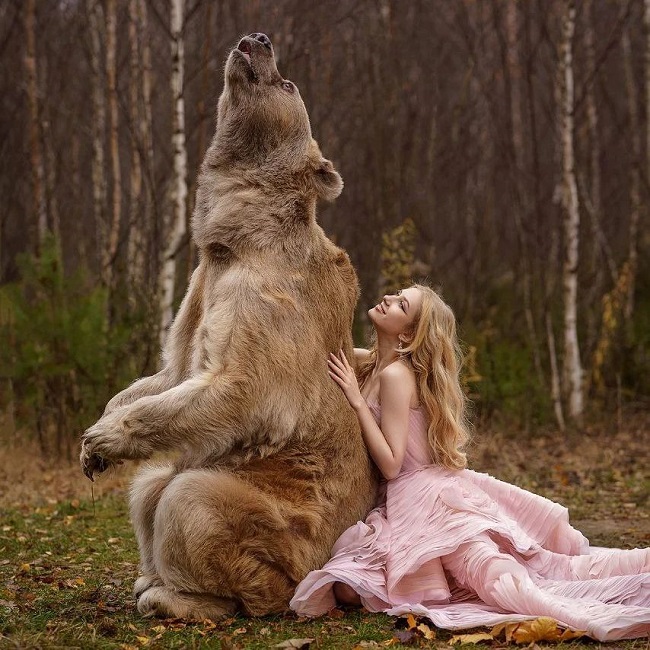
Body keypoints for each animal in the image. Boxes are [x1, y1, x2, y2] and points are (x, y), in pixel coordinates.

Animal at [79, 32, 377, 619]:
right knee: (150, 486)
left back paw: (174, 596)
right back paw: (148, 576)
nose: (258, 40)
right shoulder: (201, 282)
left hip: (283, 524)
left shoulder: (267, 296)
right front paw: (94, 439)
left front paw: (103, 436)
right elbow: (172, 372)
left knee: (190, 500)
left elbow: (239, 384)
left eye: (289, 83)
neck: (235, 239)